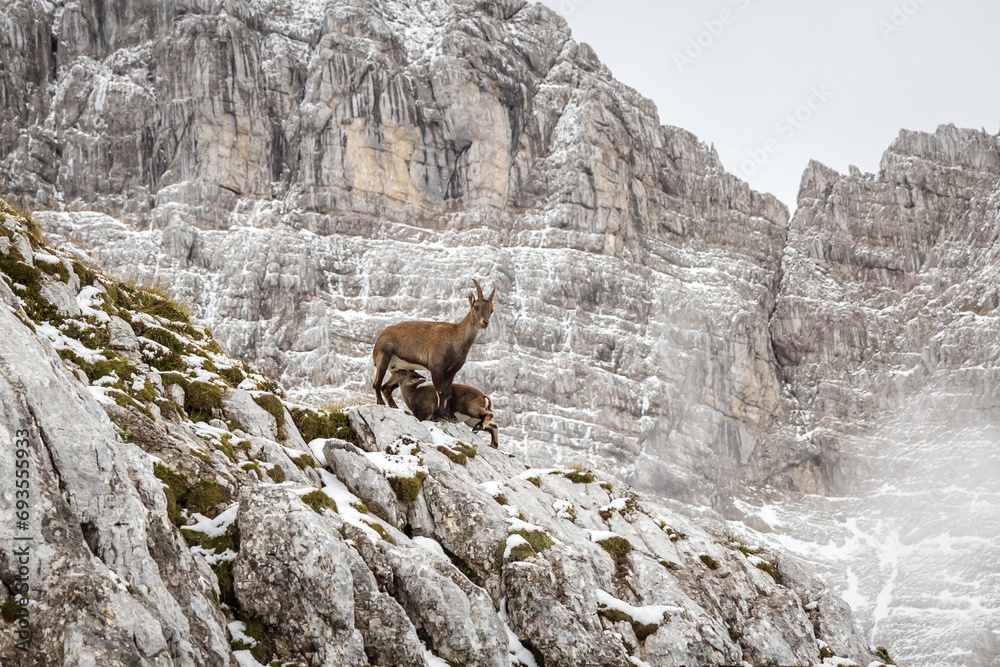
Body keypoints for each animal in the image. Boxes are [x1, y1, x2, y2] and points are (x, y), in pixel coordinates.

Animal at [372, 279, 496, 419]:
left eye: (491, 310)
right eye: (476, 307)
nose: (485, 322)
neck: (455, 337)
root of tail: (382, 334)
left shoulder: (451, 371)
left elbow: (449, 393)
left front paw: (451, 415)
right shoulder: (436, 368)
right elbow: (441, 391)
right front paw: (443, 414)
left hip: (397, 369)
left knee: (386, 387)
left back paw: (394, 407)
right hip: (383, 357)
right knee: (377, 383)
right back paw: (380, 403)